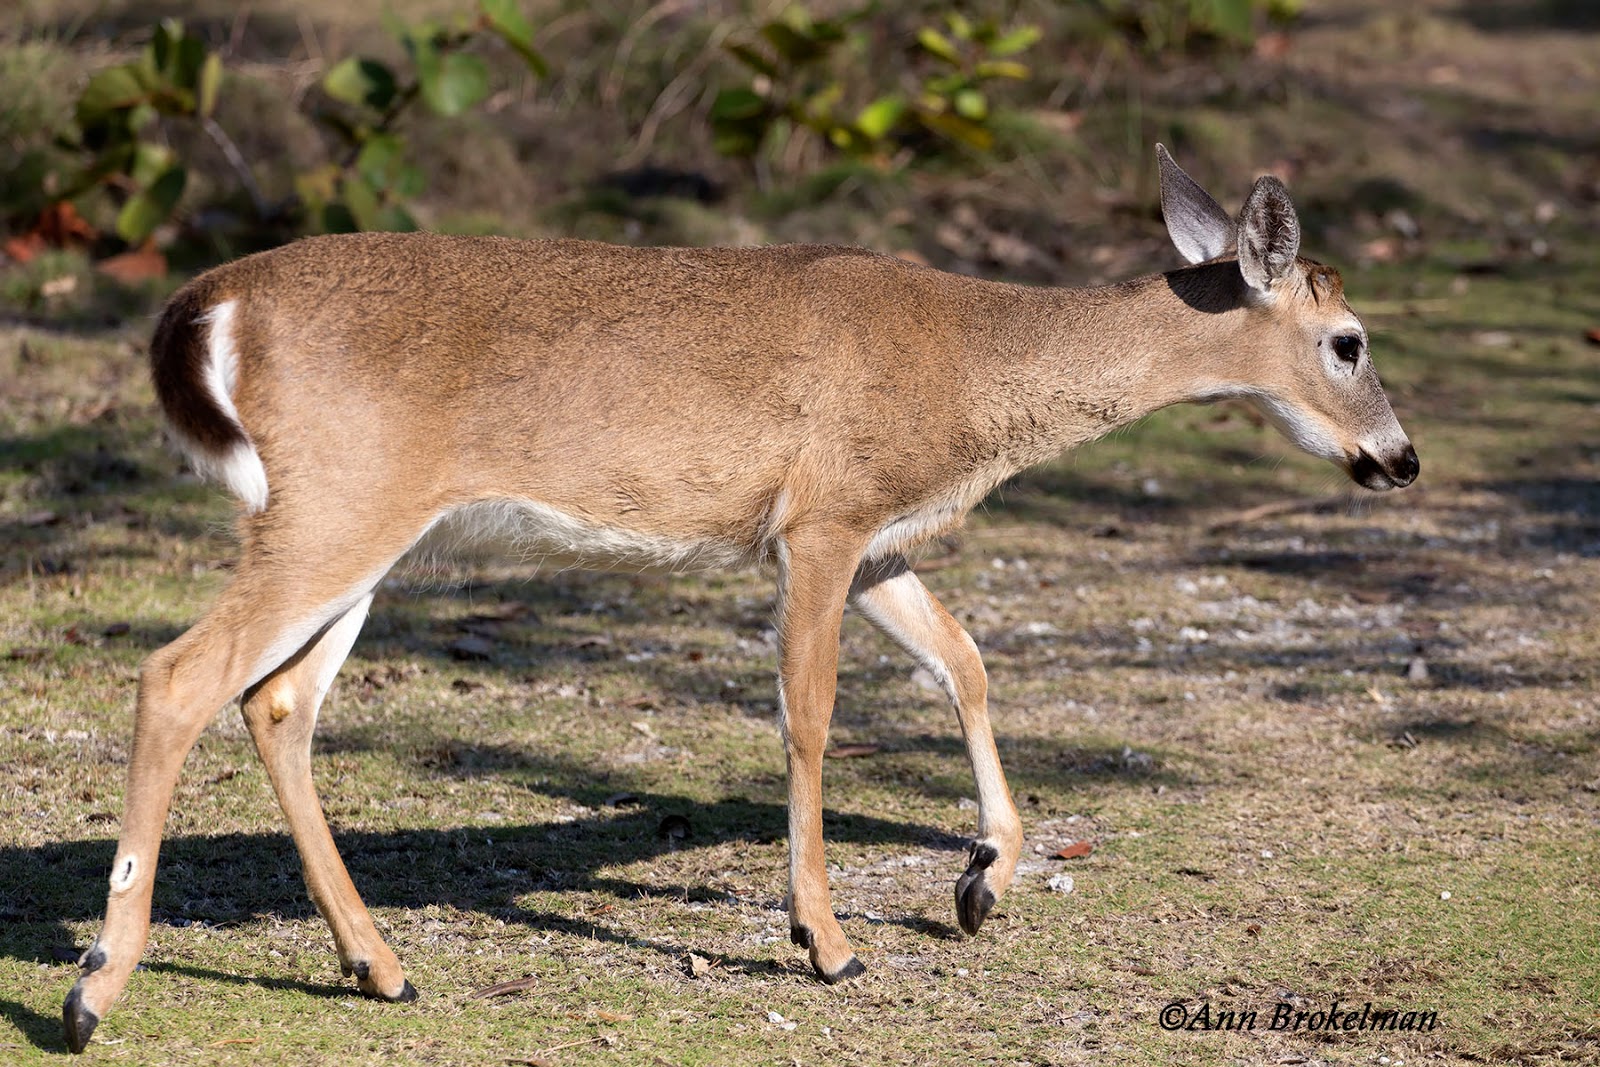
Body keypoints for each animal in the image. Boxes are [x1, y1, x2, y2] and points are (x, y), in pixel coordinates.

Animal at [62, 145, 1417, 1051]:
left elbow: (965, 659)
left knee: (278, 699)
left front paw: (981, 880)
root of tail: (212, 305)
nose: (1399, 457)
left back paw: (378, 965)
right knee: (178, 674)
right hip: (334, 504)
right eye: (1349, 340)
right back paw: (92, 988)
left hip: (365, 527)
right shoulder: (819, 522)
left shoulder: (874, 537)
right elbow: (810, 717)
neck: (976, 374)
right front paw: (826, 940)